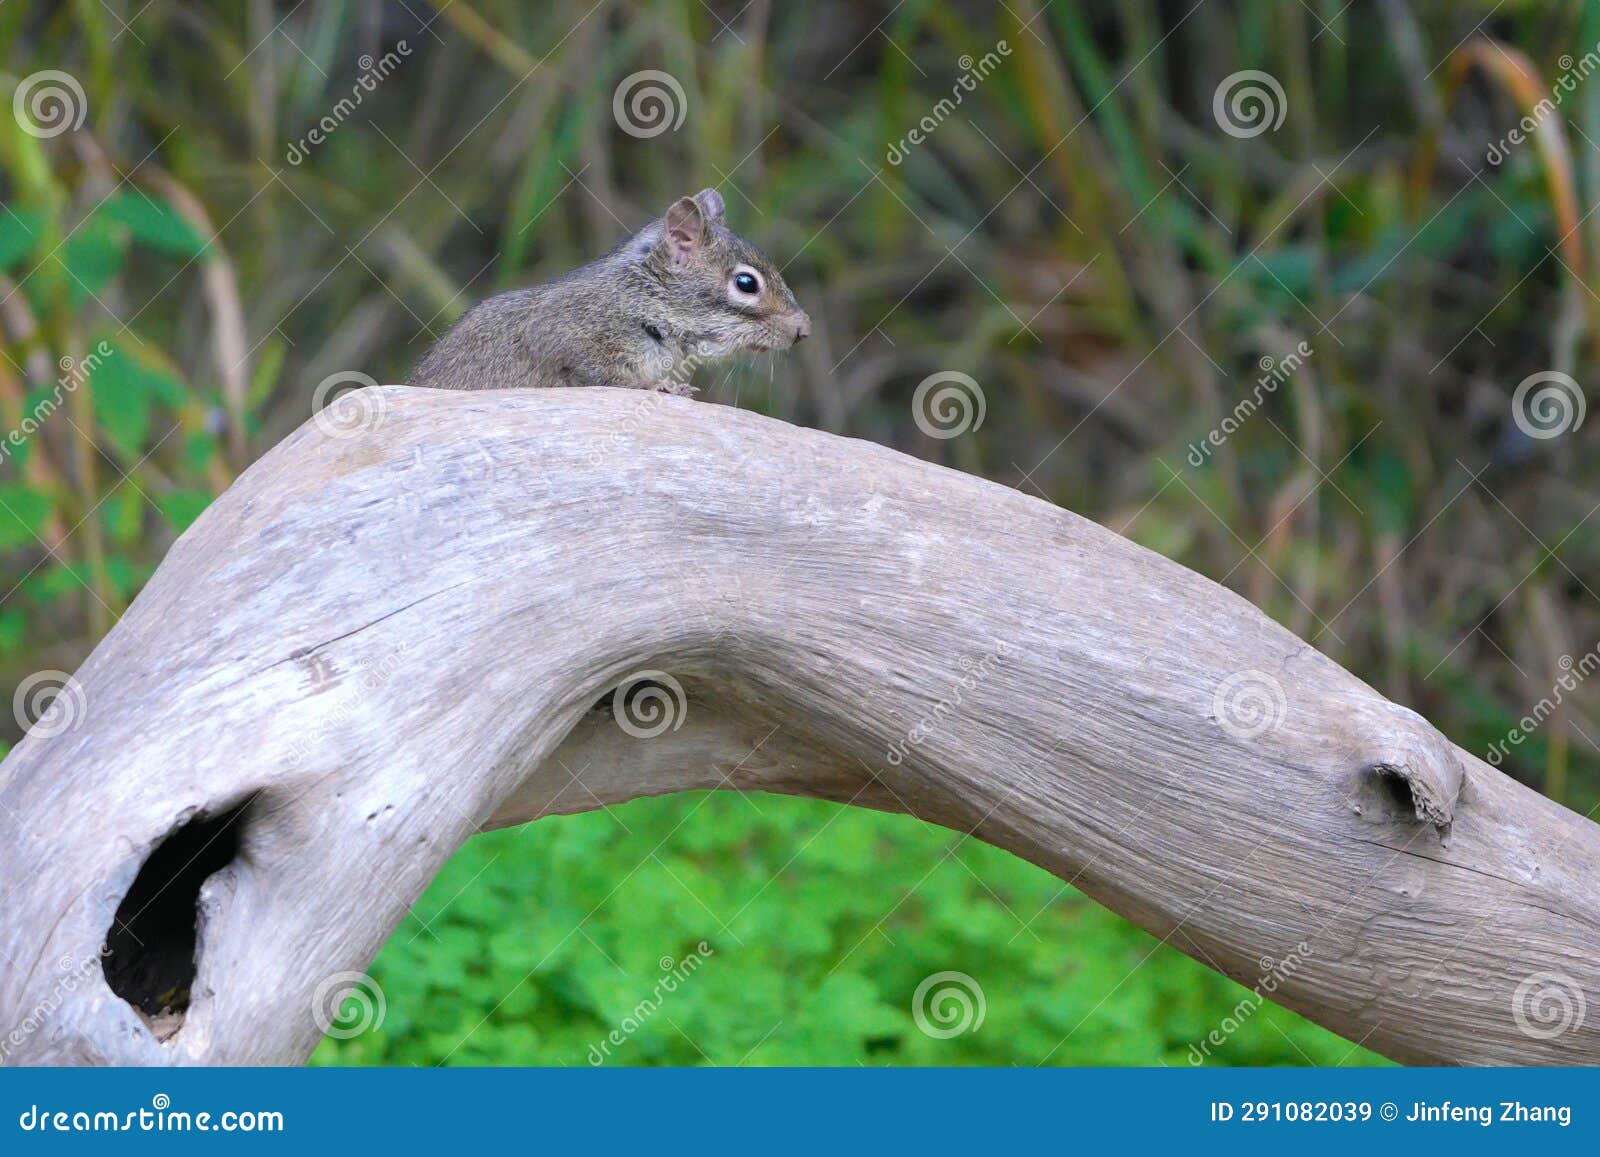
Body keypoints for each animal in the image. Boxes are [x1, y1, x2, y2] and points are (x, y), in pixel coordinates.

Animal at [408, 188, 810, 395]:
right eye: (746, 283)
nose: (803, 329)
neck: (645, 298)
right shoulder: (564, 331)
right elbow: (598, 371)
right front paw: (656, 385)